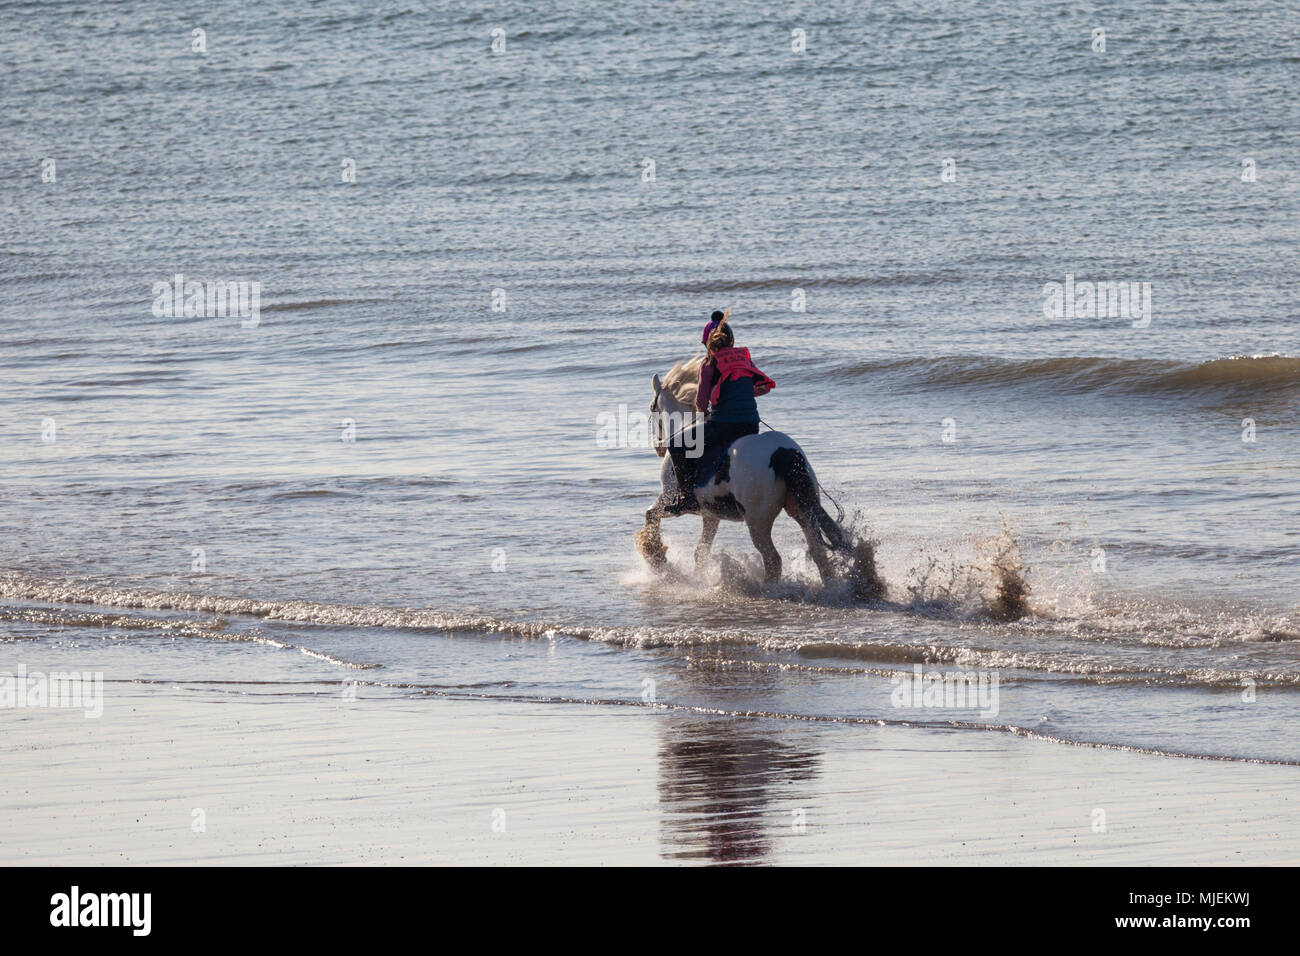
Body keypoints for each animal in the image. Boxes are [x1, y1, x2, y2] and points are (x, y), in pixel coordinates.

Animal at [637, 356, 881, 595]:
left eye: (651, 408)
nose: (659, 448)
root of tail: (783, 453)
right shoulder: (710, 514)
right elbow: (701, 551)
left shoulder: (670, 500)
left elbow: (651, 514)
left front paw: (655, 555)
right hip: (802, 510)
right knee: (818, 552)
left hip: (757, 520)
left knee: (773, 559)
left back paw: (768, 590)